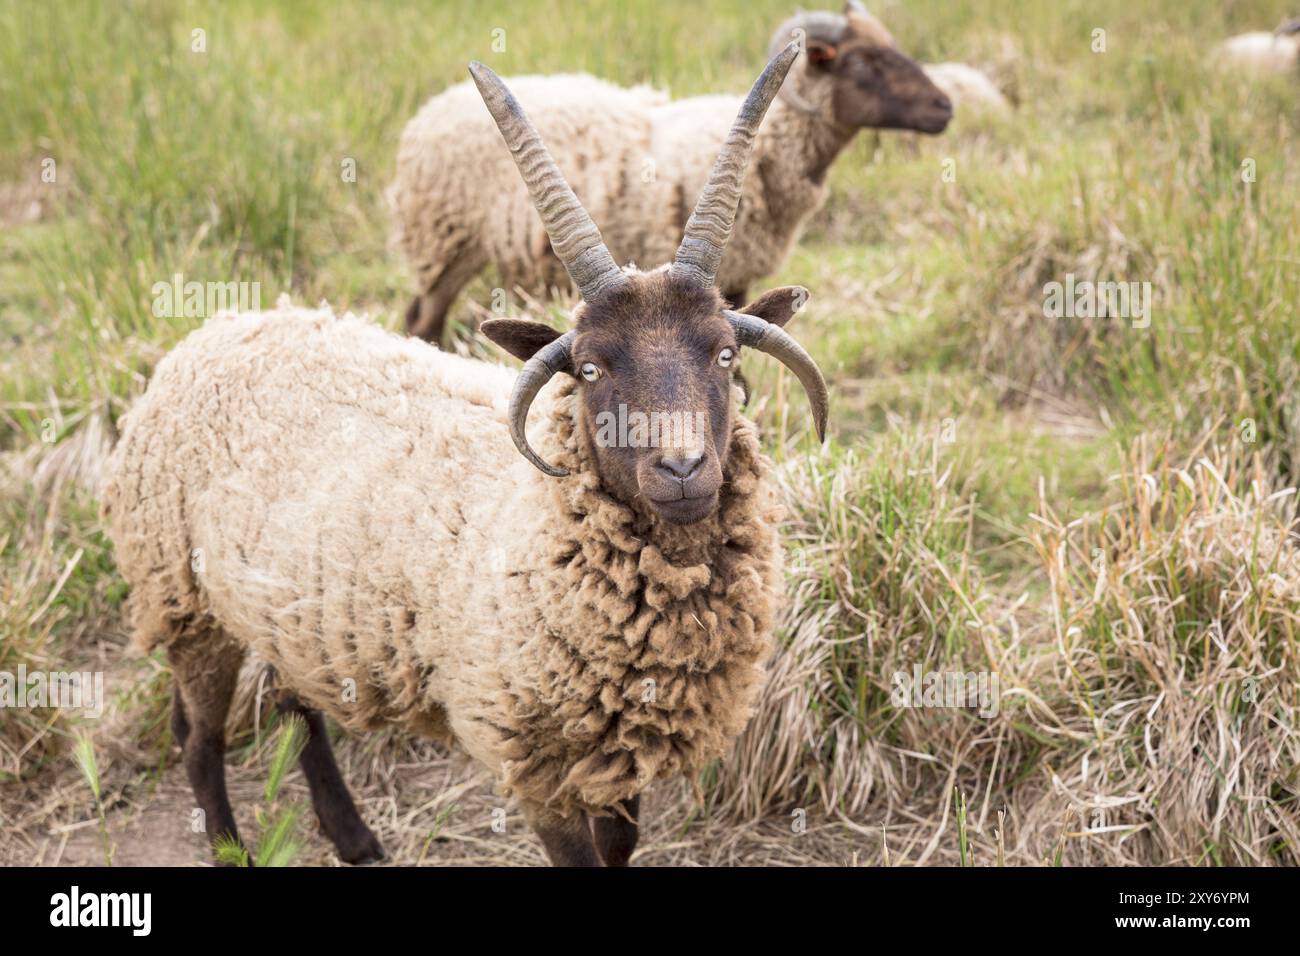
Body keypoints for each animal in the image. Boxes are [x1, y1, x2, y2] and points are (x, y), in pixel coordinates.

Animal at [101, 45, 830, 867]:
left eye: (726, 354)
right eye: (589, 368)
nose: (680, 472)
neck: (542, 528)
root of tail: (209, 334)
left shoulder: (621, 748)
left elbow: (620, 848)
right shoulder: (533, 760)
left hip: (288, 612)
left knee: (298, 708)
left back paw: (356, 838)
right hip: (185, 599)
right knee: (199, 741)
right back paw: (235, 847)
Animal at [390, 1, 952, 344]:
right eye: (865, 60)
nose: (944, 107)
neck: (778, 148)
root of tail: (427, 113)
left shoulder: (737, 278)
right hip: (444, 241)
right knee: (423, 318)